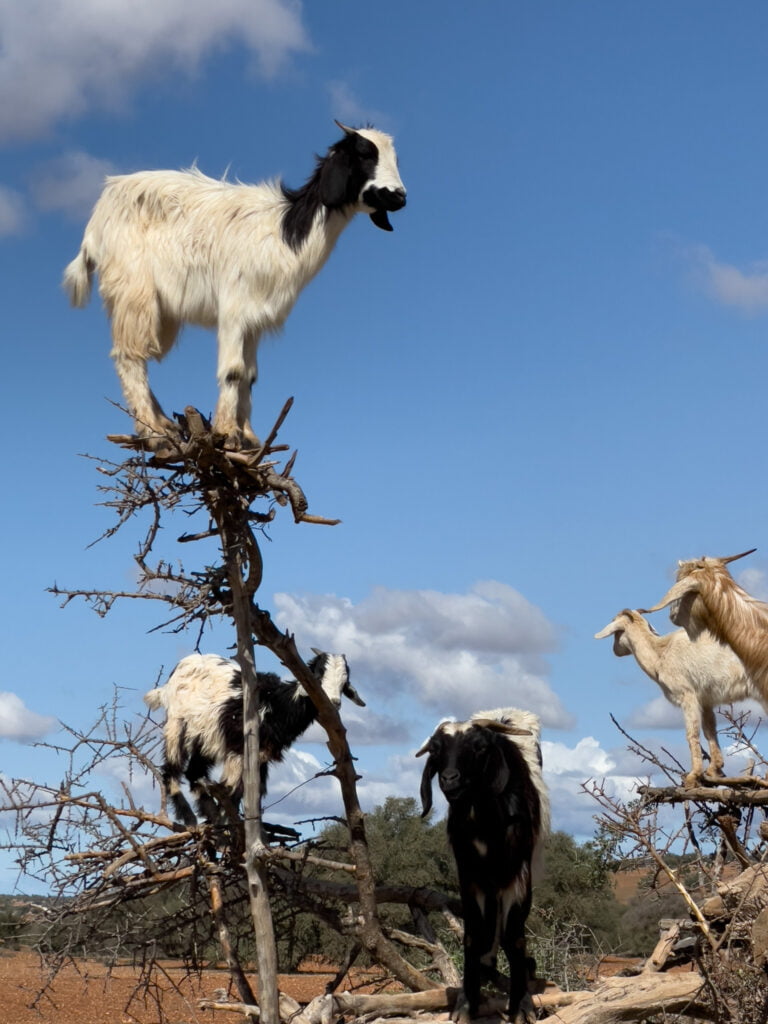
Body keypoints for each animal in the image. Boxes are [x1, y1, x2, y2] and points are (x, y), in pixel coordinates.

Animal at [63, 123, 406, 447]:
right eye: (364, 154)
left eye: (394, 157)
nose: (399, 196)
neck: (283, 231)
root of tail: (96, 220)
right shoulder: (233, 309)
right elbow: (233, 371)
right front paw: (227, 432)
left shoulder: (256, 318)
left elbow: (250, 376)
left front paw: (249, 437)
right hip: (133, 290)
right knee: (129, 355)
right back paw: (153, 432)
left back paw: (164, 424)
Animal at [144, 650, 365, 827]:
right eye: (317, 675)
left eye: (344, 683)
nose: (333, 702)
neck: (274, 705)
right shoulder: (238, 750)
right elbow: (231, 789)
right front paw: (229, 824)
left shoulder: (261, 755)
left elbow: (251, 790)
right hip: (177, 723)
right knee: (172, 768)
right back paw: (189, 817)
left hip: (205, 736)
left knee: (194, 772)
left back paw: (208, 810)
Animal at [416, 708, 548, 1024]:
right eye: (436, 750)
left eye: (479, 747)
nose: (449, 779)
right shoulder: (469, 872)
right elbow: (473, 934)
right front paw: (466, 1003)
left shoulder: (518, 873)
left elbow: (514, 936)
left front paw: (521, 1005)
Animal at [595, 609, 756, 787]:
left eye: (616, 631)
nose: (615, 650)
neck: (660, 653)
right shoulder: (705, 700)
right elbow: (709, 730)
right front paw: (714, 769)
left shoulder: (687, 695)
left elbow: (692, 734)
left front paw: (693, 776)